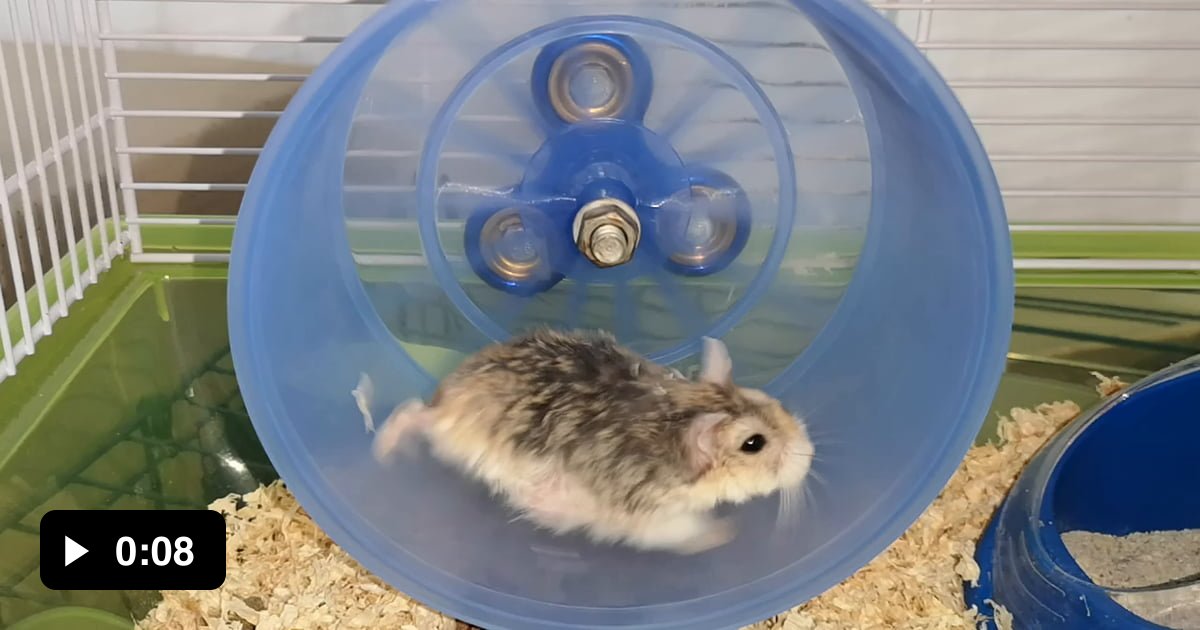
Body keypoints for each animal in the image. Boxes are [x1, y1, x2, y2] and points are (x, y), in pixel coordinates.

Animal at [371, 328, 815, 555]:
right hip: (451, 435)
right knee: (411, 412)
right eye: (754, 444)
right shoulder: (654, 518)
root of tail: (448, 395)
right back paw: (385, 453)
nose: (809, 454)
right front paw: (727, 532)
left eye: (771, 403)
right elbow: (689, 532)